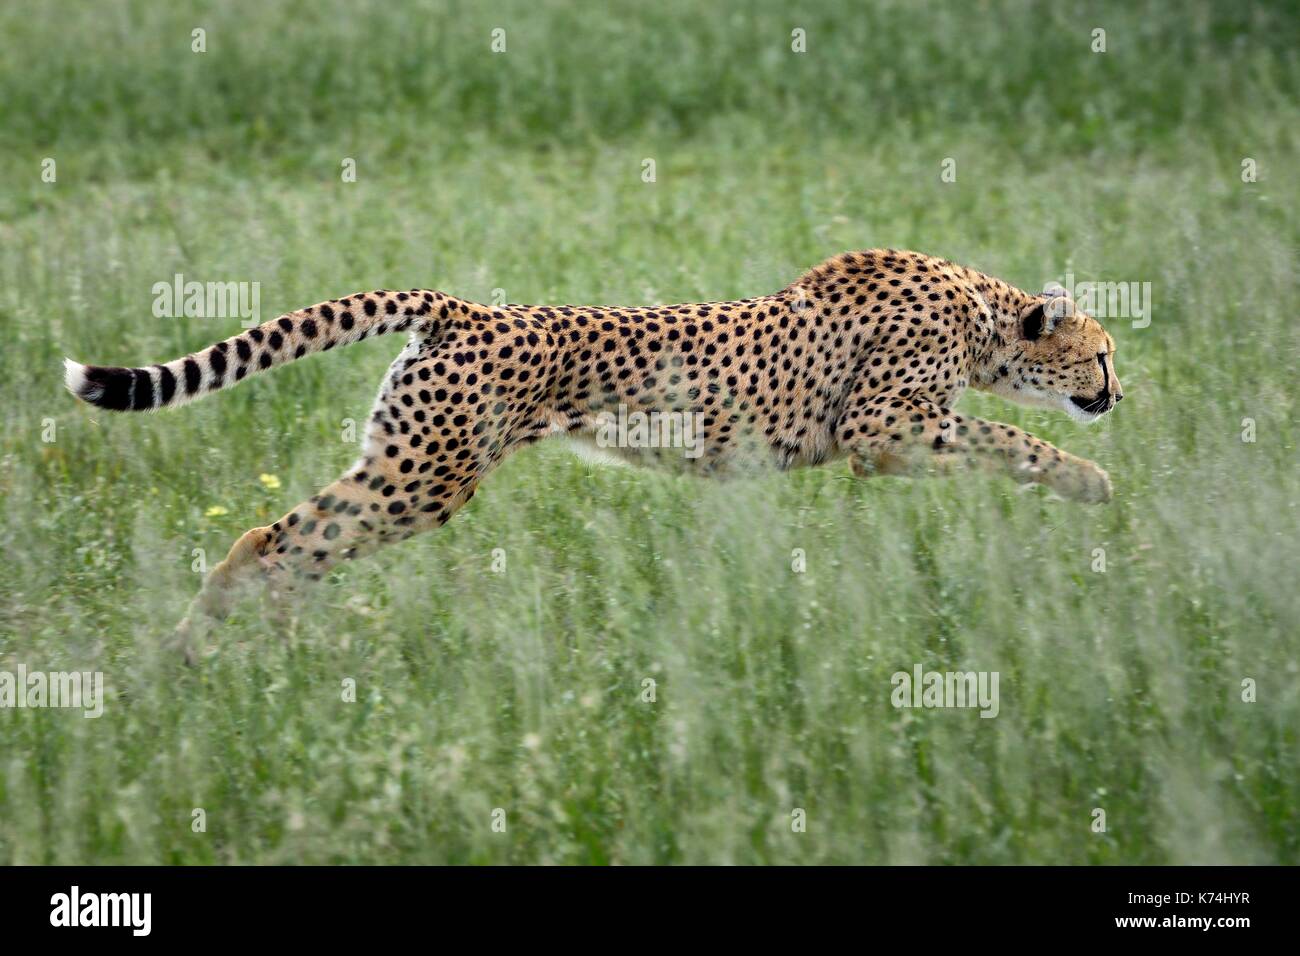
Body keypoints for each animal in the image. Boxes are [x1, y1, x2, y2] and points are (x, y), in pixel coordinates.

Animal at [64, 249, 1122, 660]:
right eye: (1103, 352)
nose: (1118, 391)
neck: (984, 318)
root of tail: (466, 307)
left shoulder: (890, 436)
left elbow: (1002, 436)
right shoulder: (884, 432)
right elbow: (1011, 437)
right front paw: (1092, 481)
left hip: (406, 465)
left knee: (280, 544)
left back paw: (213, 659)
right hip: (426, 478)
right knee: (282, 541)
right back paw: (250, 657)